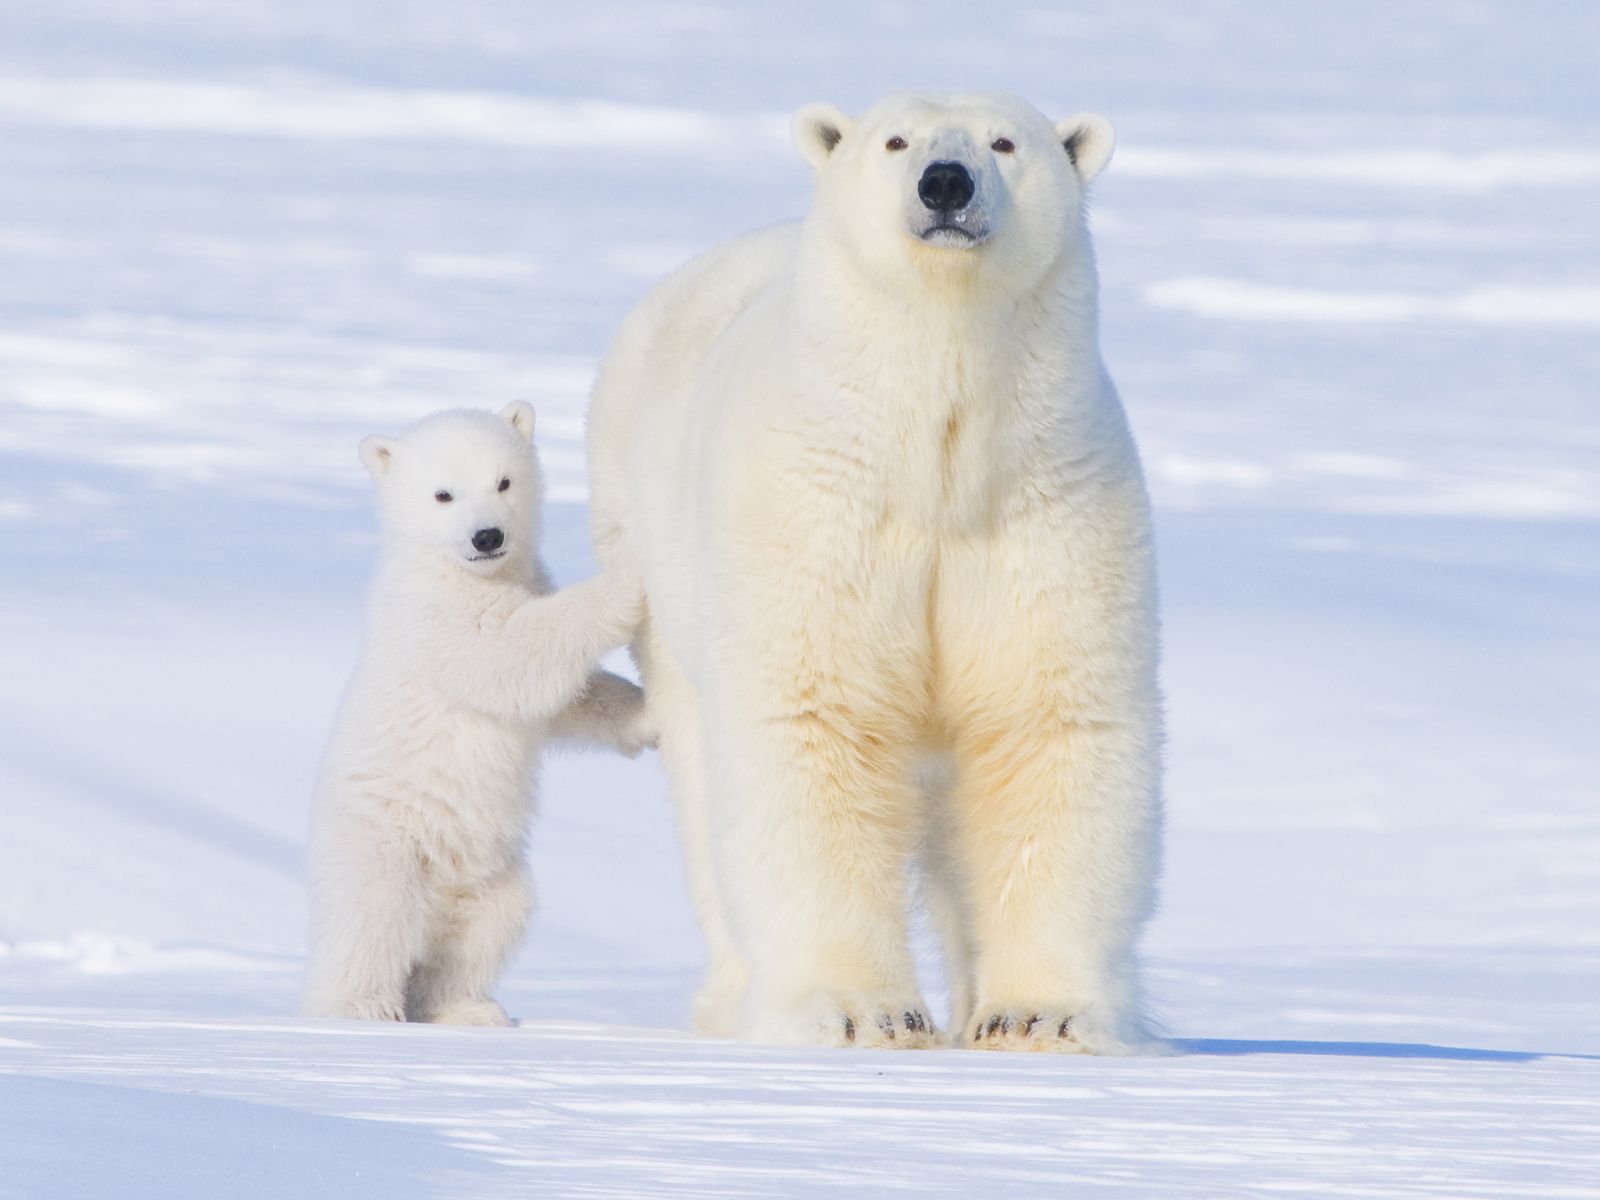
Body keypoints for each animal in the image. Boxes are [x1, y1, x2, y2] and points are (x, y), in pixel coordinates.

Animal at [304, 402, 649, 1026]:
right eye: (443, 493)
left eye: (504, 481)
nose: (488, 536)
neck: (460, 570)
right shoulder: (434, 616)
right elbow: (511, 652)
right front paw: (628, 577)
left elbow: (563, 699)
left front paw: (646, 715)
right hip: (382, 838)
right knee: (373, 916)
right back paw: (361, 1004)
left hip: (489, 873)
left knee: (488, 924)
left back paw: (466, 1007)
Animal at [586, 92, 1161, 1052]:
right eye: (896, 140)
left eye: (1006, 141)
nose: (946, 182)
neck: (933, 456)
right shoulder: (816, 511)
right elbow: (814, 721)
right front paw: (866, 1013)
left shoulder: (1045, 509)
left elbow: (1044, 724)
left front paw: (1036, 1015)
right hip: (651, 560)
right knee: (703, 786)